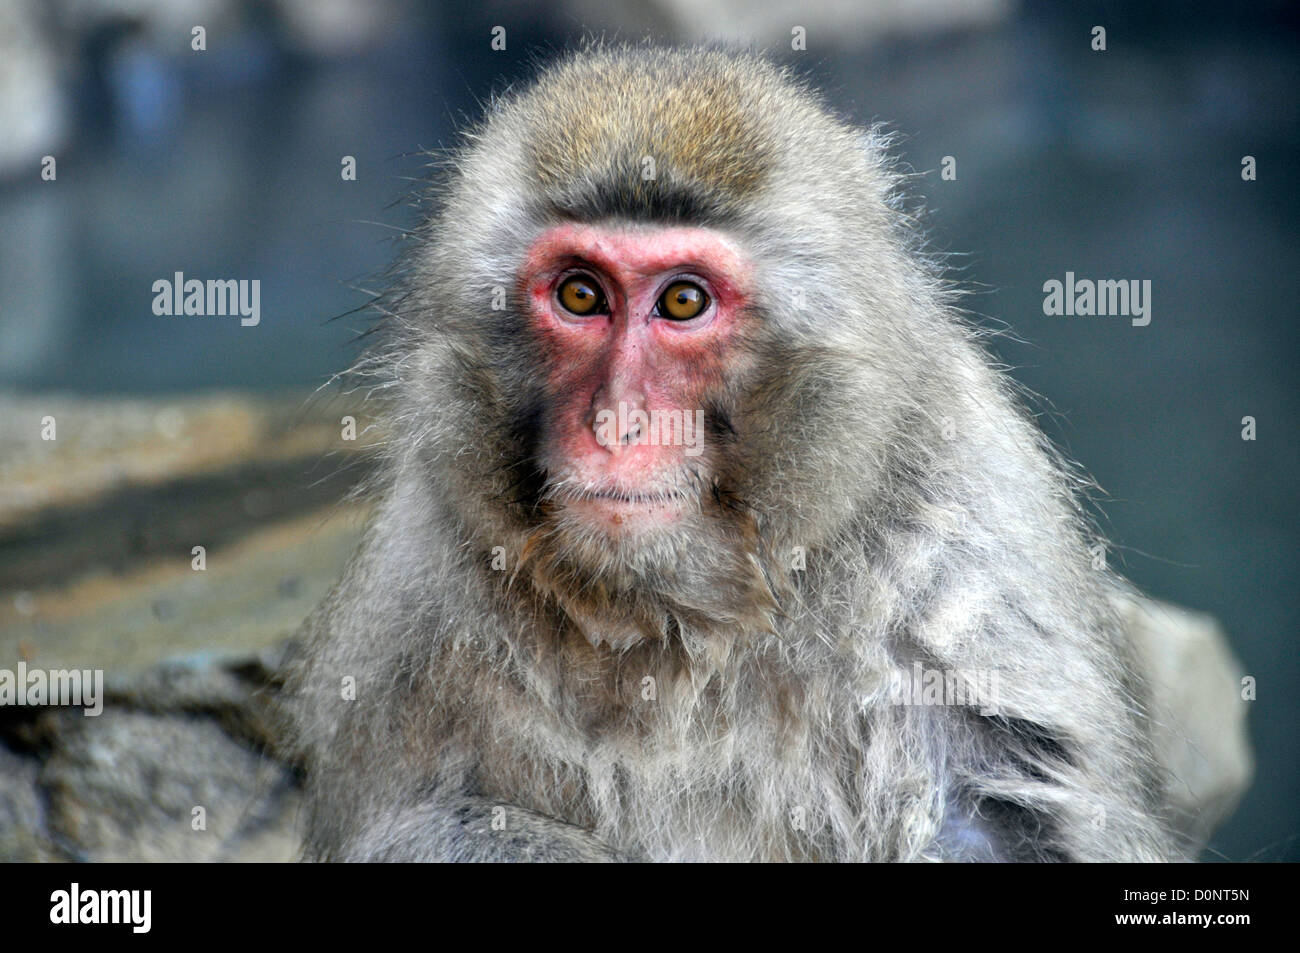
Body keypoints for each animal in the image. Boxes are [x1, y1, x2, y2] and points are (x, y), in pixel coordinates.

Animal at [285, 45, 1190, 862]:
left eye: (684, 301)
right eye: (580, 293)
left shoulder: (959, 572)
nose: (619, 424)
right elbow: (425, 826)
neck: (671, 617)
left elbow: (1006, 821)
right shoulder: (412, 615)